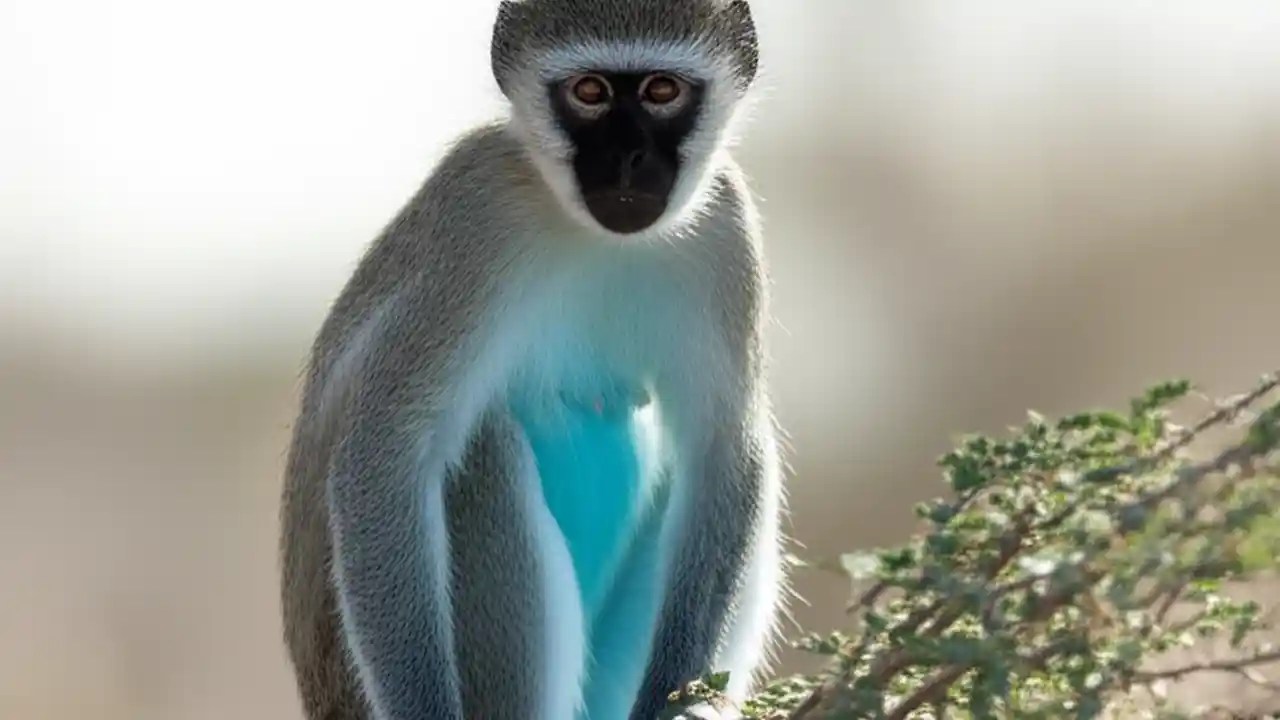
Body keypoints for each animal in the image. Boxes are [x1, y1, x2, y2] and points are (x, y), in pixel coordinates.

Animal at [279, 1, 785, 719]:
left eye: (662, 91)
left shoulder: (723, 226)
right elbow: (384, 456)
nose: (627, 160)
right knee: (482, 452)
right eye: (589, 92)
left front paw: (677, 699)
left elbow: (723, 451)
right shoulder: (480, 218)